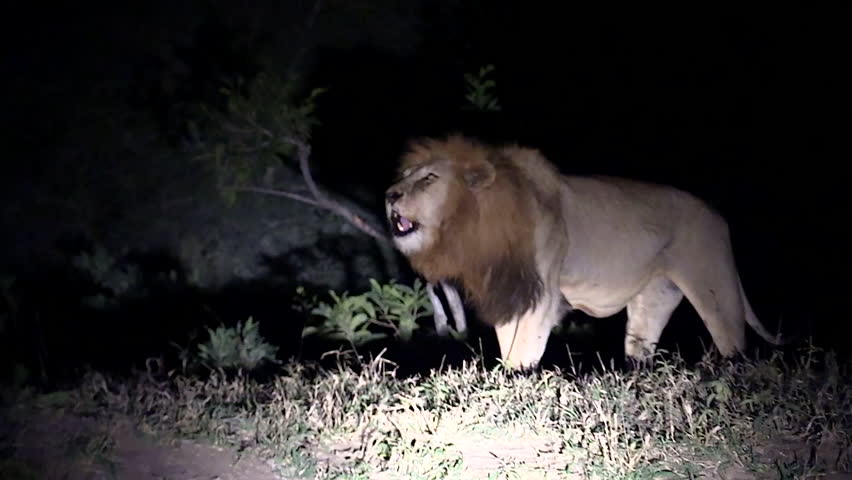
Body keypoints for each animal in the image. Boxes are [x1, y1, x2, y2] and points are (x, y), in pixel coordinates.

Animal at [384, 134, 784, 369]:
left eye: (429, 179)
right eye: (404, 176)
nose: (389, 195)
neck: (474, 223)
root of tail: (718, 217)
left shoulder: (539, 293)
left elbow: (523, 348)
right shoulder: (507, 291)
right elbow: (508, 343)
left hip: (716, 290)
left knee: (733, 345)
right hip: (652, 301)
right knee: (641, 350)